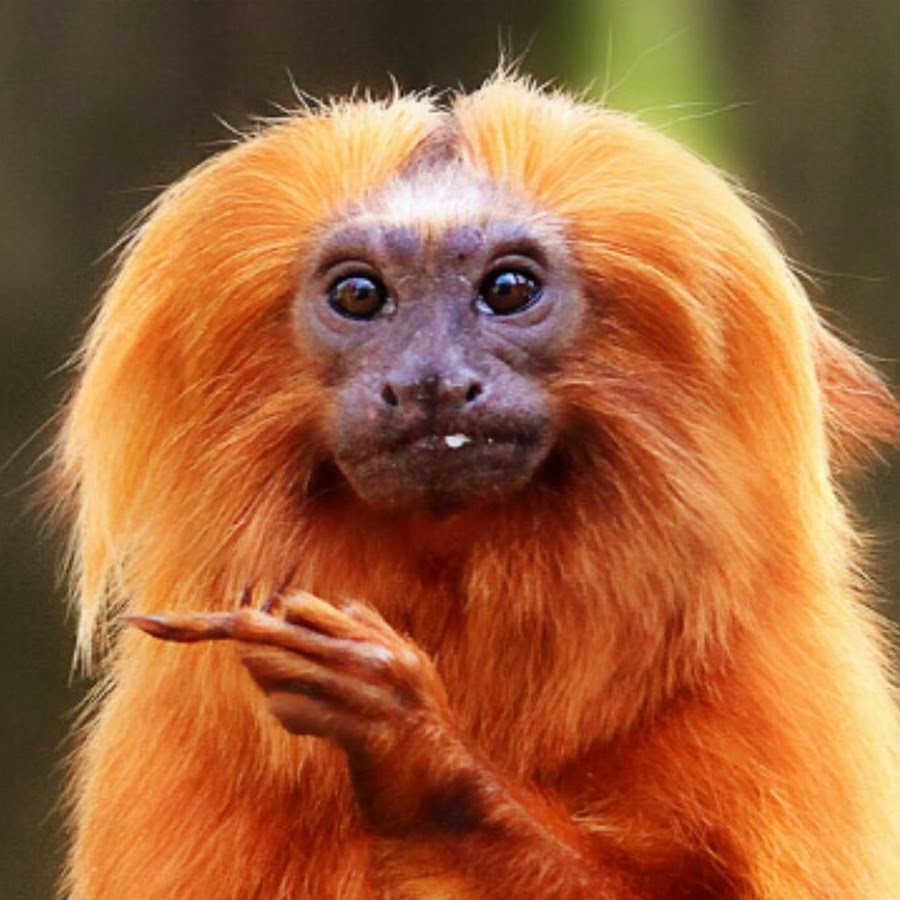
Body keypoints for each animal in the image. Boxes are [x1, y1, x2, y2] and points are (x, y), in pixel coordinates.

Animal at [55, 76, 900, 898]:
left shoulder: (779, 683)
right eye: (359, 296)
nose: (431, 382)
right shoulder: (174, 743)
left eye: (509, 289)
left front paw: (423, 760)